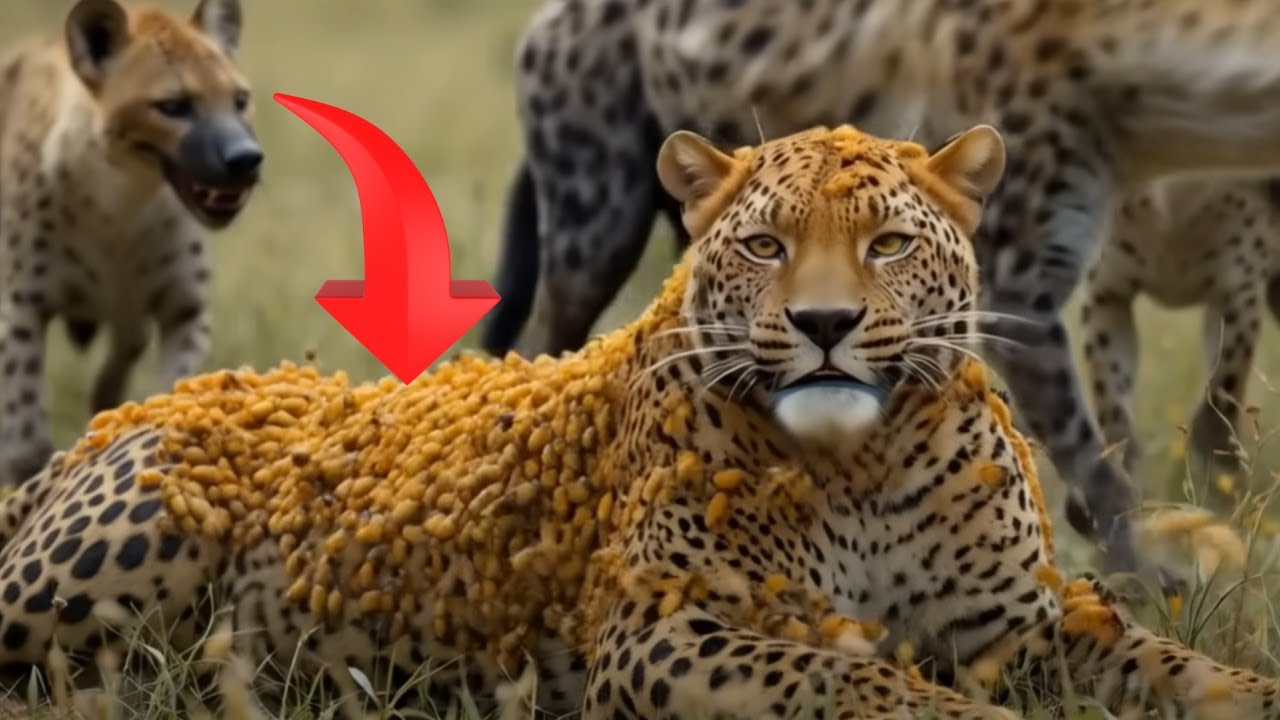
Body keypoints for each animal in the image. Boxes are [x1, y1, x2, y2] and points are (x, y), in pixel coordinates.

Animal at [0, 0, 263, 489]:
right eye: (173, 106)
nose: (245, 159)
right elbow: (24, 431)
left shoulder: (184, 309)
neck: (122, 197)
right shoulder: (20, 309)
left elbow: (179, 385)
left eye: (239, 100)